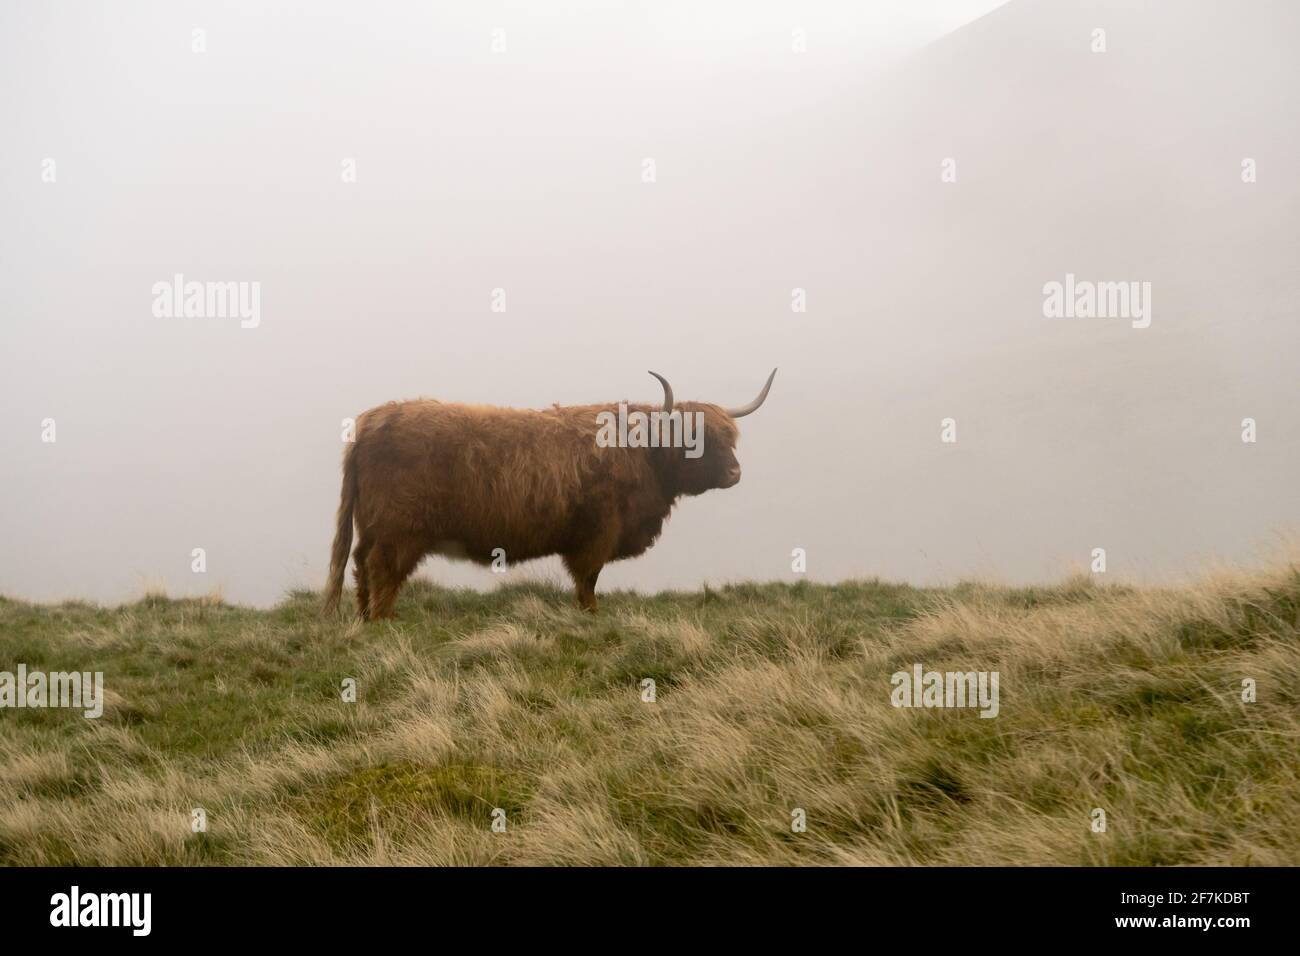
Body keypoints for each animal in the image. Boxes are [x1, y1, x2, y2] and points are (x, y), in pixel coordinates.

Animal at [322, 370, 776, 619]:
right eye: (695, 440)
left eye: (729, 438)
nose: (735, 473)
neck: (642, 451)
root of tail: (373, 419)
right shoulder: (598, 532)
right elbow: (588, 579)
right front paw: (592, 615)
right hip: (400, 529)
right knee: (382, 567)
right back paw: (384, 619)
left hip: (374, 525)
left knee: (360, 563)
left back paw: (364, 616)